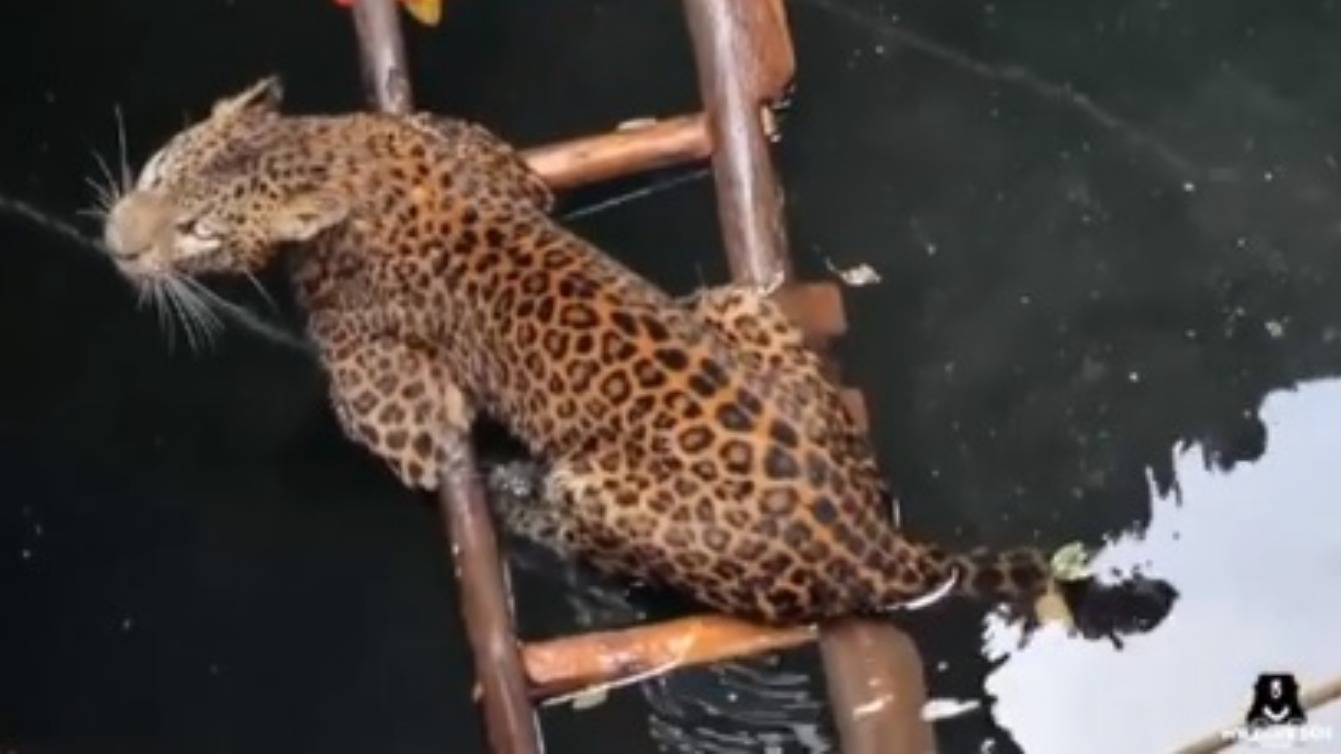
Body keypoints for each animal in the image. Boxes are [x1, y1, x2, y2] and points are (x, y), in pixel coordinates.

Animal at [98, 76, 1171, 628]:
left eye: (194, 227)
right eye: (151, 172)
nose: (116, 243)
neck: (332, 155)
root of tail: (879, 542)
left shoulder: (388, 394)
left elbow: (402, 422)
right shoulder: (487, 155)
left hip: (604, 493)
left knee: (581, 526)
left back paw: (517, 494)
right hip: (735, 302)